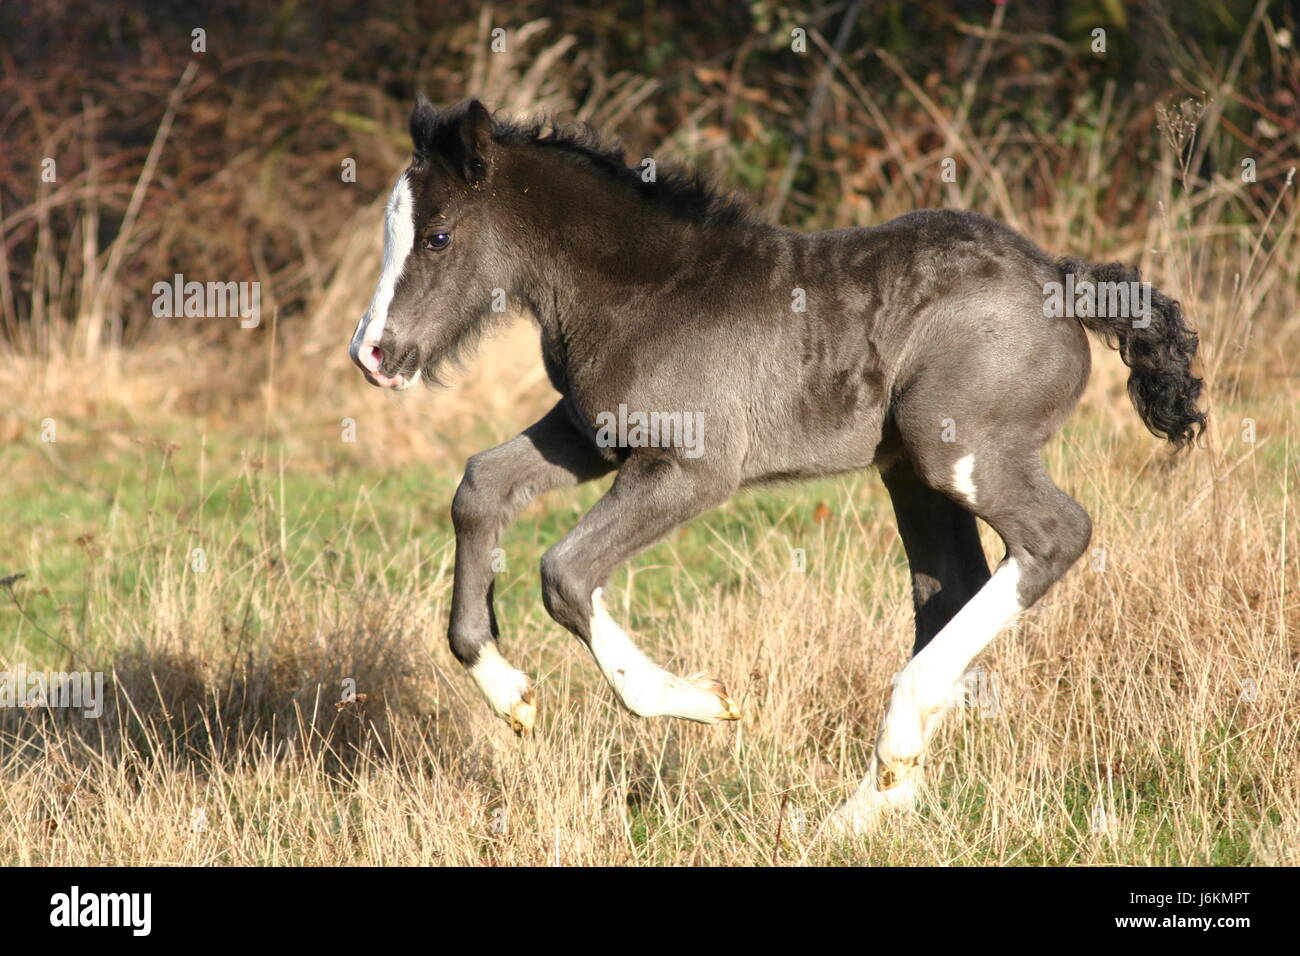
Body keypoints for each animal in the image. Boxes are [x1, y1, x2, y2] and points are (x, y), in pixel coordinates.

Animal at [348, 97, 1205, 834]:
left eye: (438, 237)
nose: (373, 354)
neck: (639, 292)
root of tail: (1061, 280)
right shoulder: (590, 436)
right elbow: (479, 486)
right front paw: (509, 694)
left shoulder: (693, 467)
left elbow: (564, 571)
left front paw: (701, 700)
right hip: (910, 470)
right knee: (951, 589)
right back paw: (871, 807)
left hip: (954, 448)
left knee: (1055, 535)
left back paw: (888, 756)